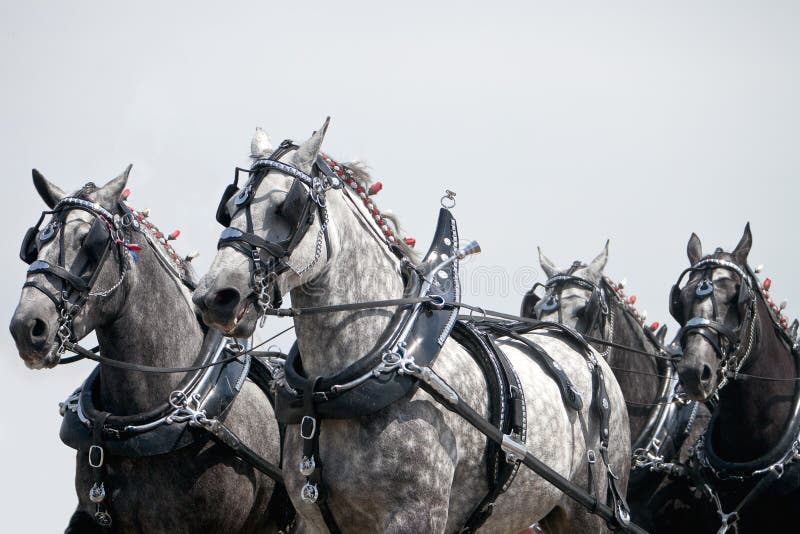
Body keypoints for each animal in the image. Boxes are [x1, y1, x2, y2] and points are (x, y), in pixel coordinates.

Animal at [192, 120, 634, 533]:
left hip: (588, 515)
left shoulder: (415, 517)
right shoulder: (312, 517)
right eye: (230, 206)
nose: (216, 297)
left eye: (290, 205)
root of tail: (587, 350)